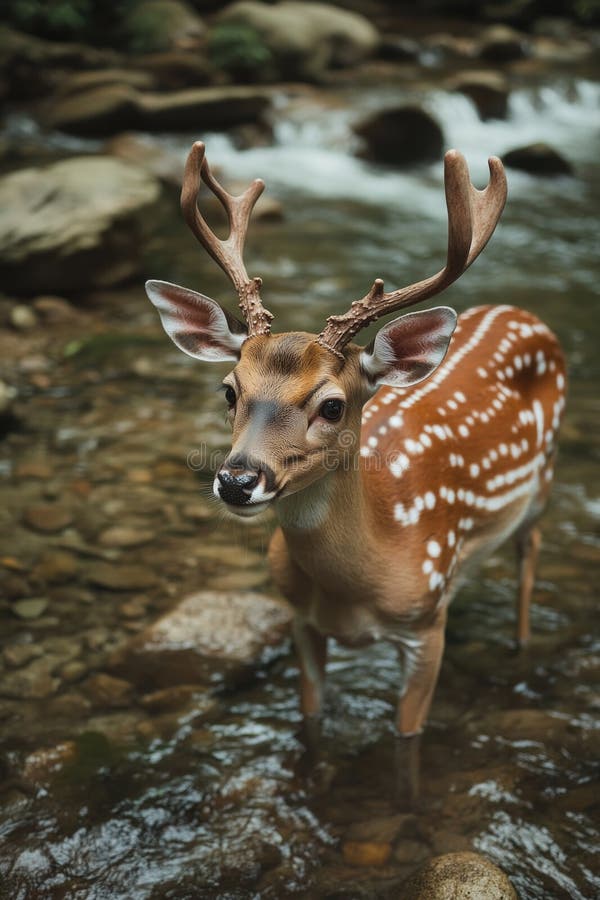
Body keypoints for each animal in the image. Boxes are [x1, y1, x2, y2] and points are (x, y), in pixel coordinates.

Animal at [145, 142, 566, 796]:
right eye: (229, 390)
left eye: (332, 405)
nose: (237, 481)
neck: (364, 577)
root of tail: (528, 314)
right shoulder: (301, 620)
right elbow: (312, 718)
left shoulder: (425, 624)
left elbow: (407, 738)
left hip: (543, 480)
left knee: (531, 551)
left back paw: (521, 646)